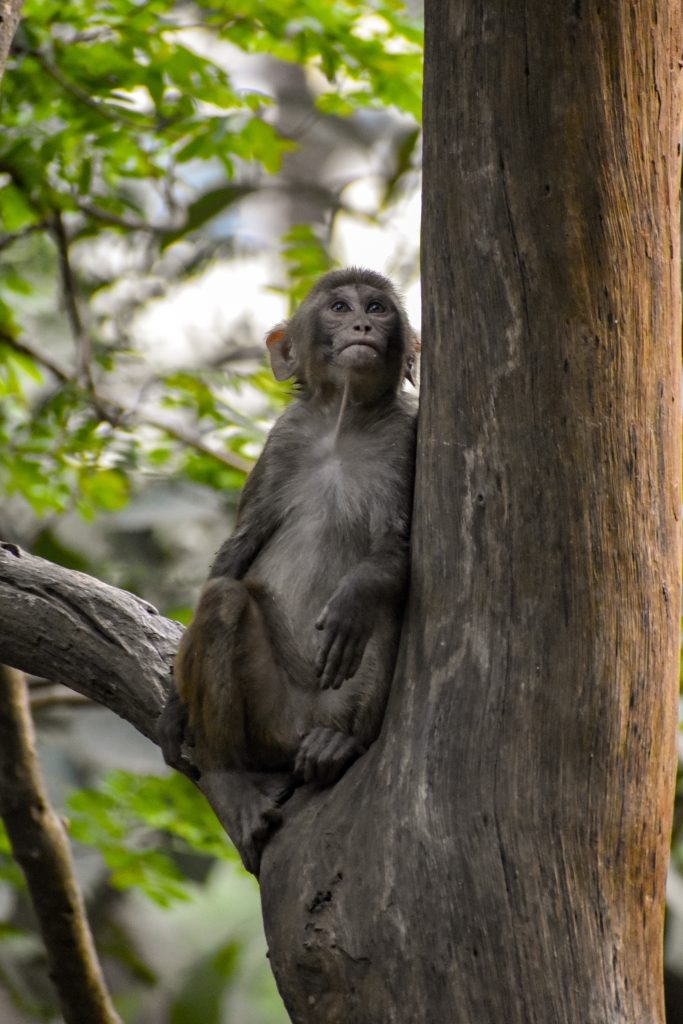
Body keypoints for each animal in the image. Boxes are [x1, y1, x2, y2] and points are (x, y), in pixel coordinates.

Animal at [157, 267, 418, 874]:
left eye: (377, 308)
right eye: (340, 308)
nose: (363, 326)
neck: (344, 423)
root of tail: (297, 727)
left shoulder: (406, 439)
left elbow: (394, 550)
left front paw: (350, 602)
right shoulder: (283, 441)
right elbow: (239, 548)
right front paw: (173, 712)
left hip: (332, 706)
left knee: (381, 612)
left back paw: (340, 744)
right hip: (265, 713)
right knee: (224, 600)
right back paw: (229, 775)